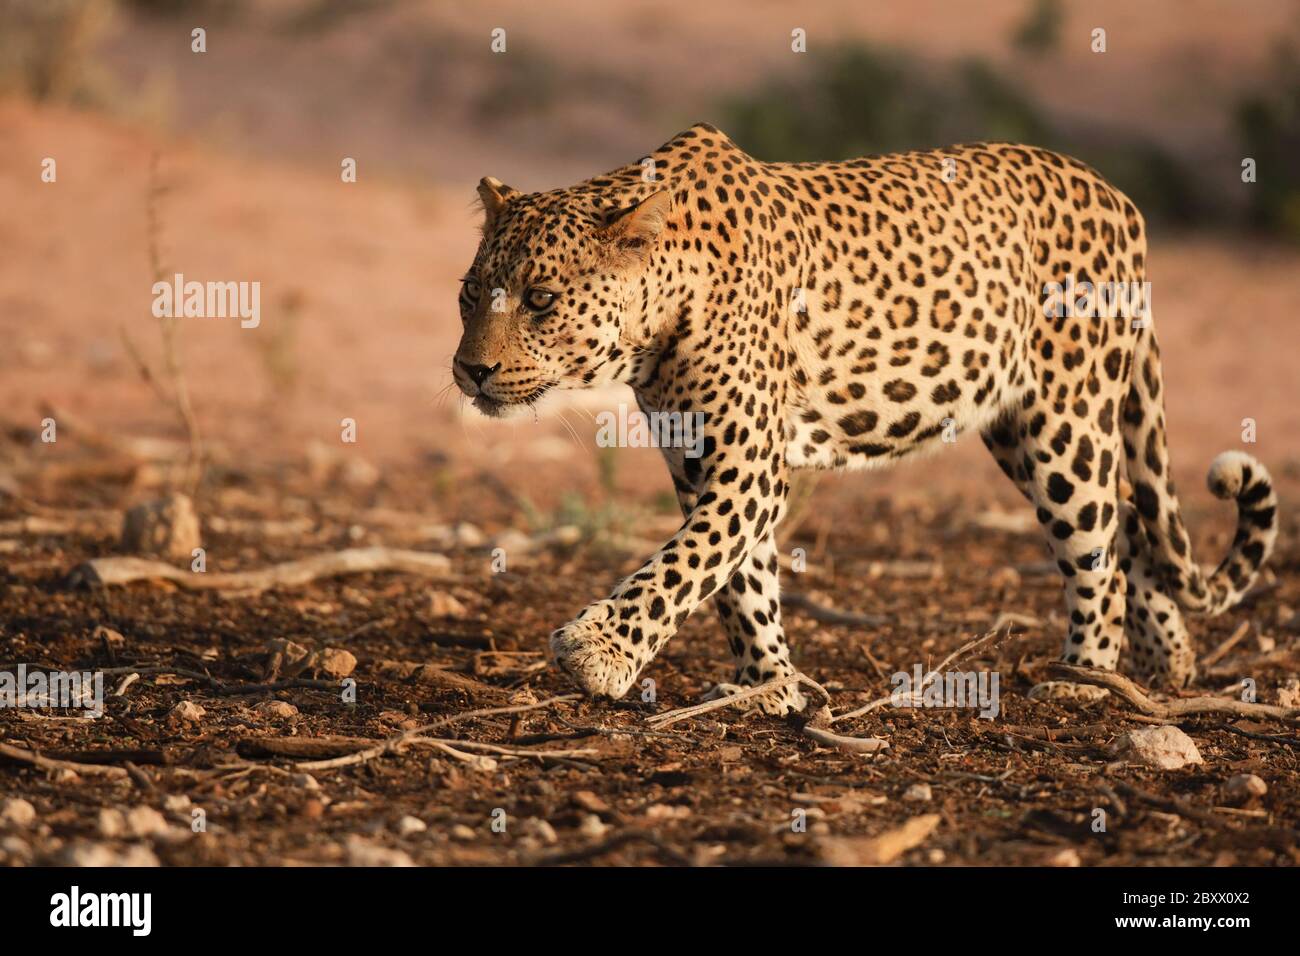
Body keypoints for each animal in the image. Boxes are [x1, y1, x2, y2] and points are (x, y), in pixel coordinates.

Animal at [452, 123, 1278, 715]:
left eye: (540, 300)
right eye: (468, 295)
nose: (470, 370)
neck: (659, 316)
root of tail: (1119, 197)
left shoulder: (748, 469)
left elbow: (683, 564)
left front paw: (599, 651)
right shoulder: (701, 461)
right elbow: (737, 578)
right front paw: (768, 684)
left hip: (1063, 423)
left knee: (1098, 548)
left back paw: (1085, 677)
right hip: (1017, 429)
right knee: (1129, 521)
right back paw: (1165, 659)